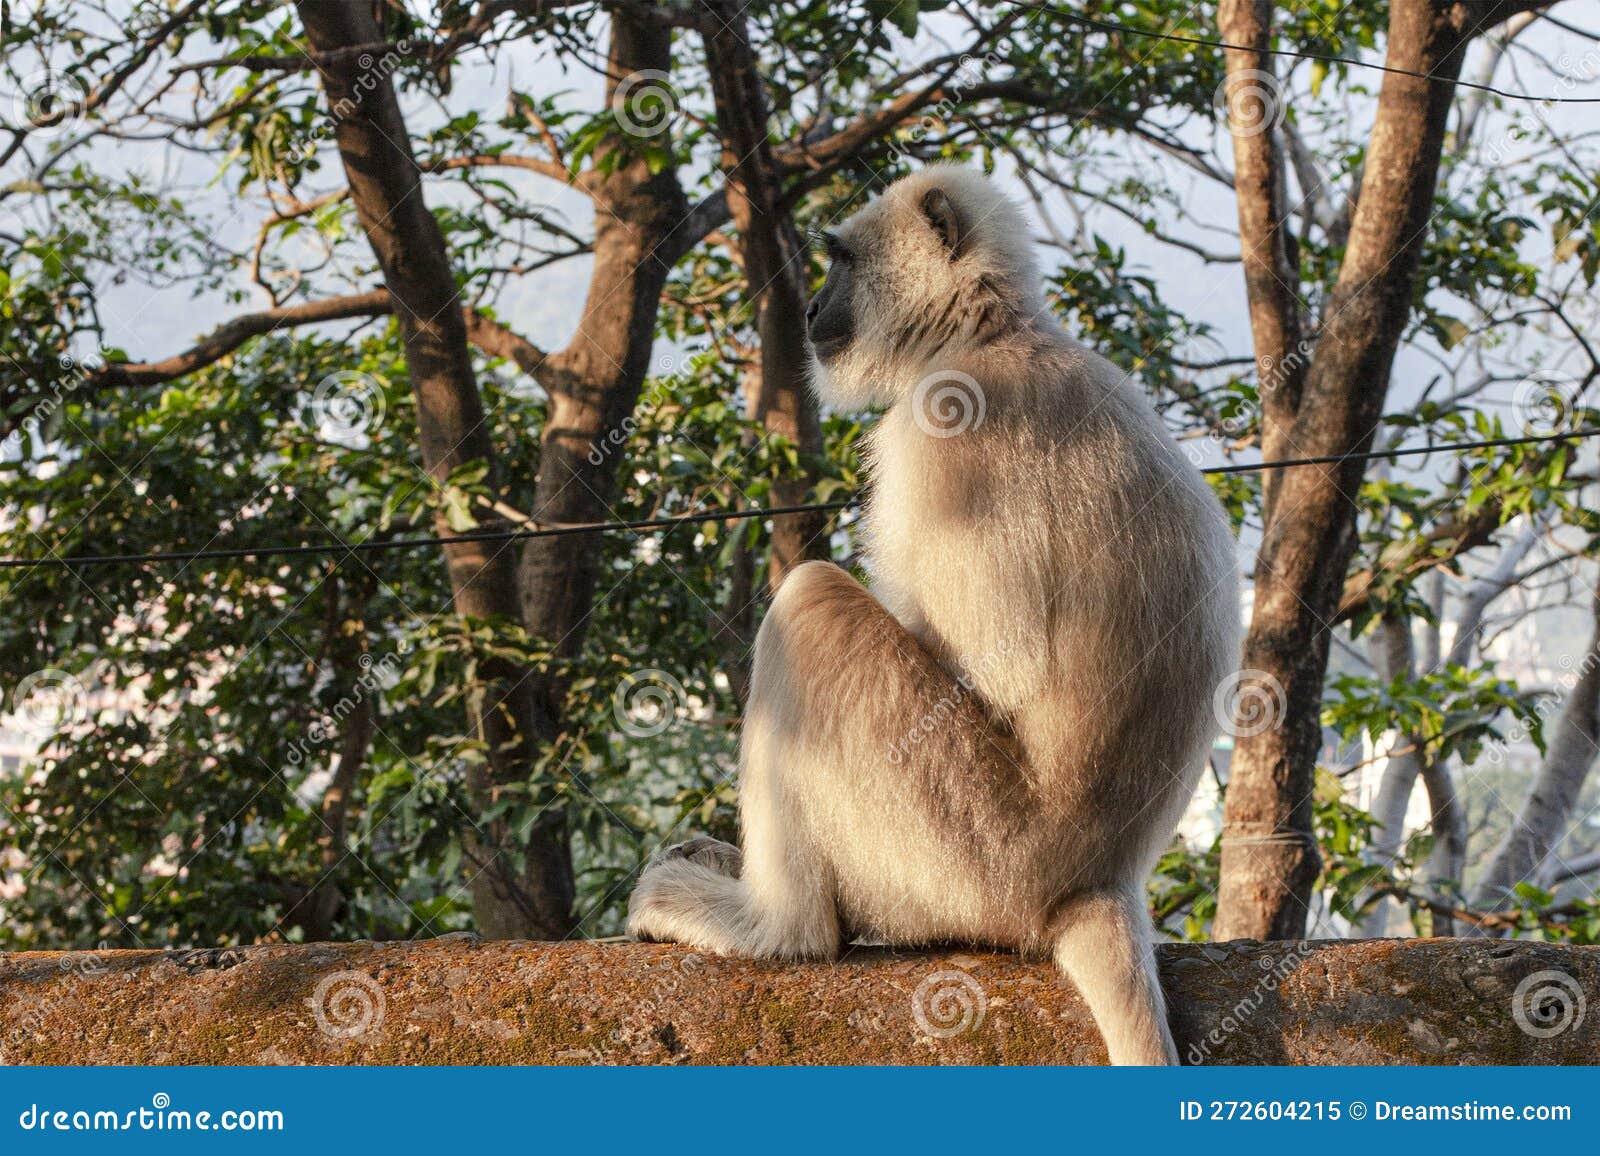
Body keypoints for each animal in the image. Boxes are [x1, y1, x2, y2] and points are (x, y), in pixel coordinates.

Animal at [626, 165, 1239, 1066]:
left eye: (842, 259)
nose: (812, 309)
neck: (989, 335)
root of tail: (1093, 878)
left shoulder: (941, 423)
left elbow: (994, 666)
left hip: (960, 851)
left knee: (812, 606)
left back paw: (774, 929)